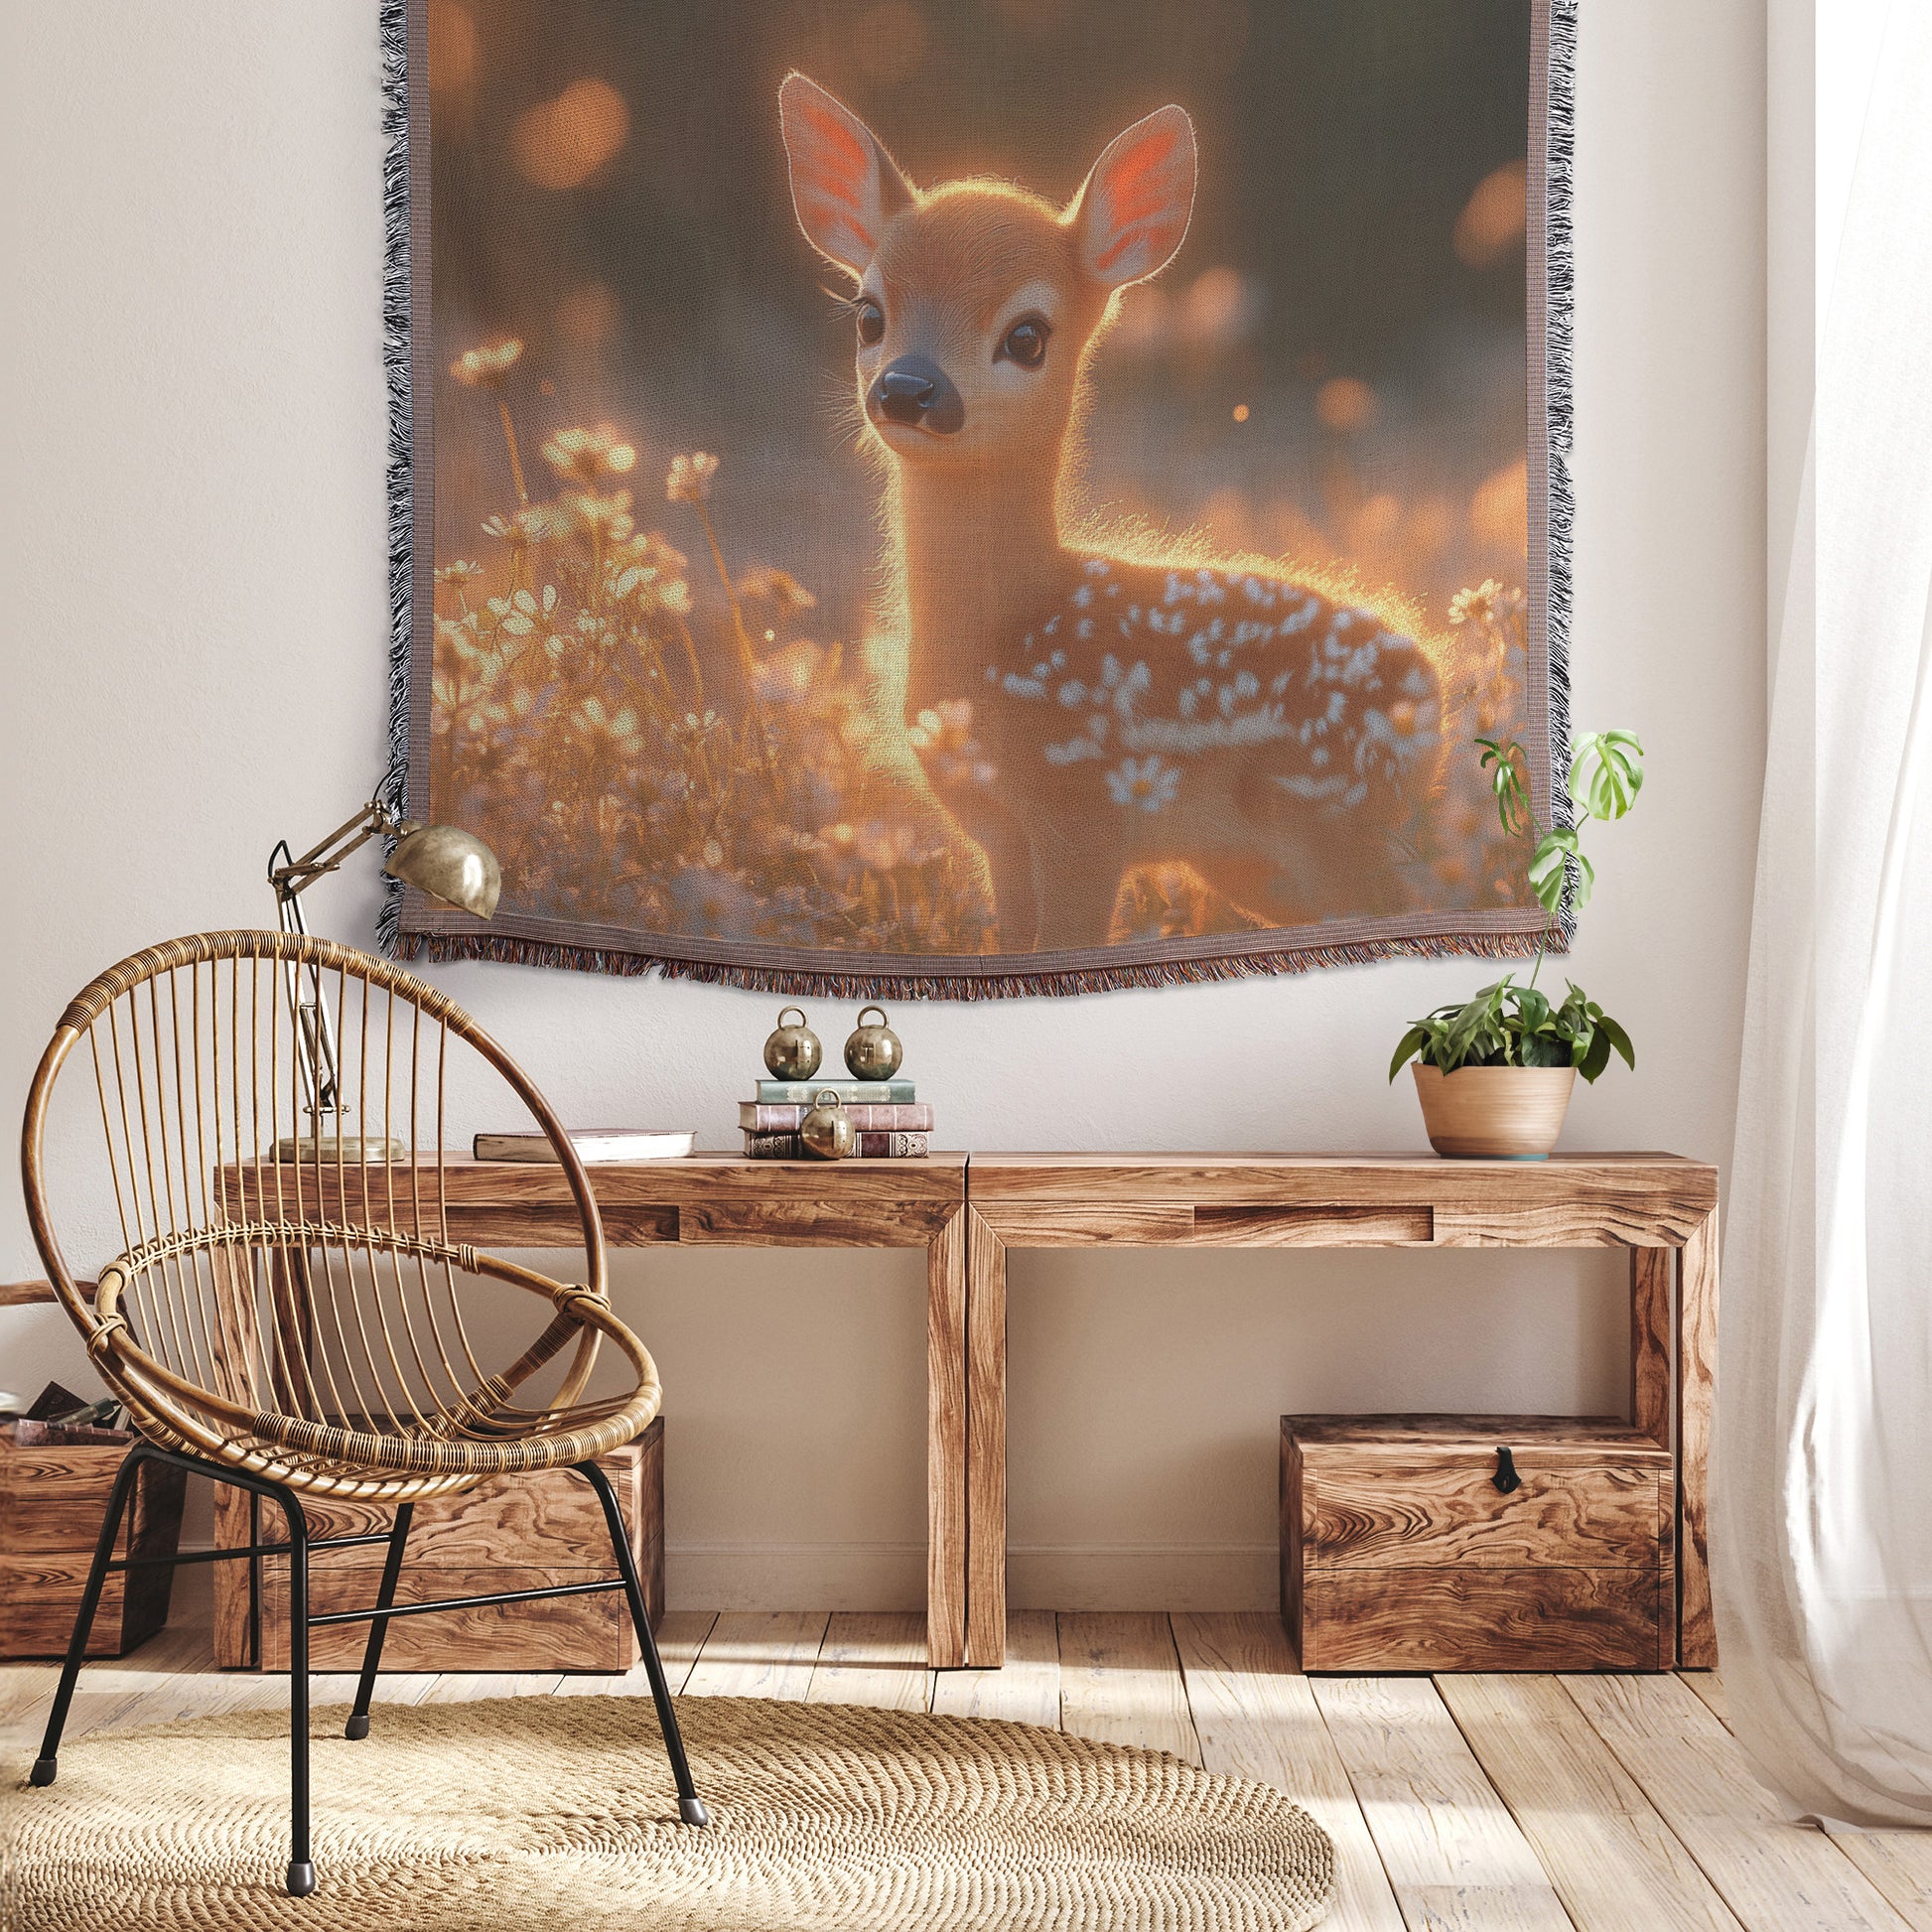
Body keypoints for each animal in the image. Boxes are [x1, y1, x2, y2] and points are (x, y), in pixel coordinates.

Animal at [777, 74, 1443, 953]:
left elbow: (1067, 941)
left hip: (1329, 811)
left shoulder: (1083, 805)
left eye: (1027, 335)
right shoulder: (1000, 832)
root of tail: (1435, 702)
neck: (1000, 633)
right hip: (1255, 859)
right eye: (868, 315)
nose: (909, 388)